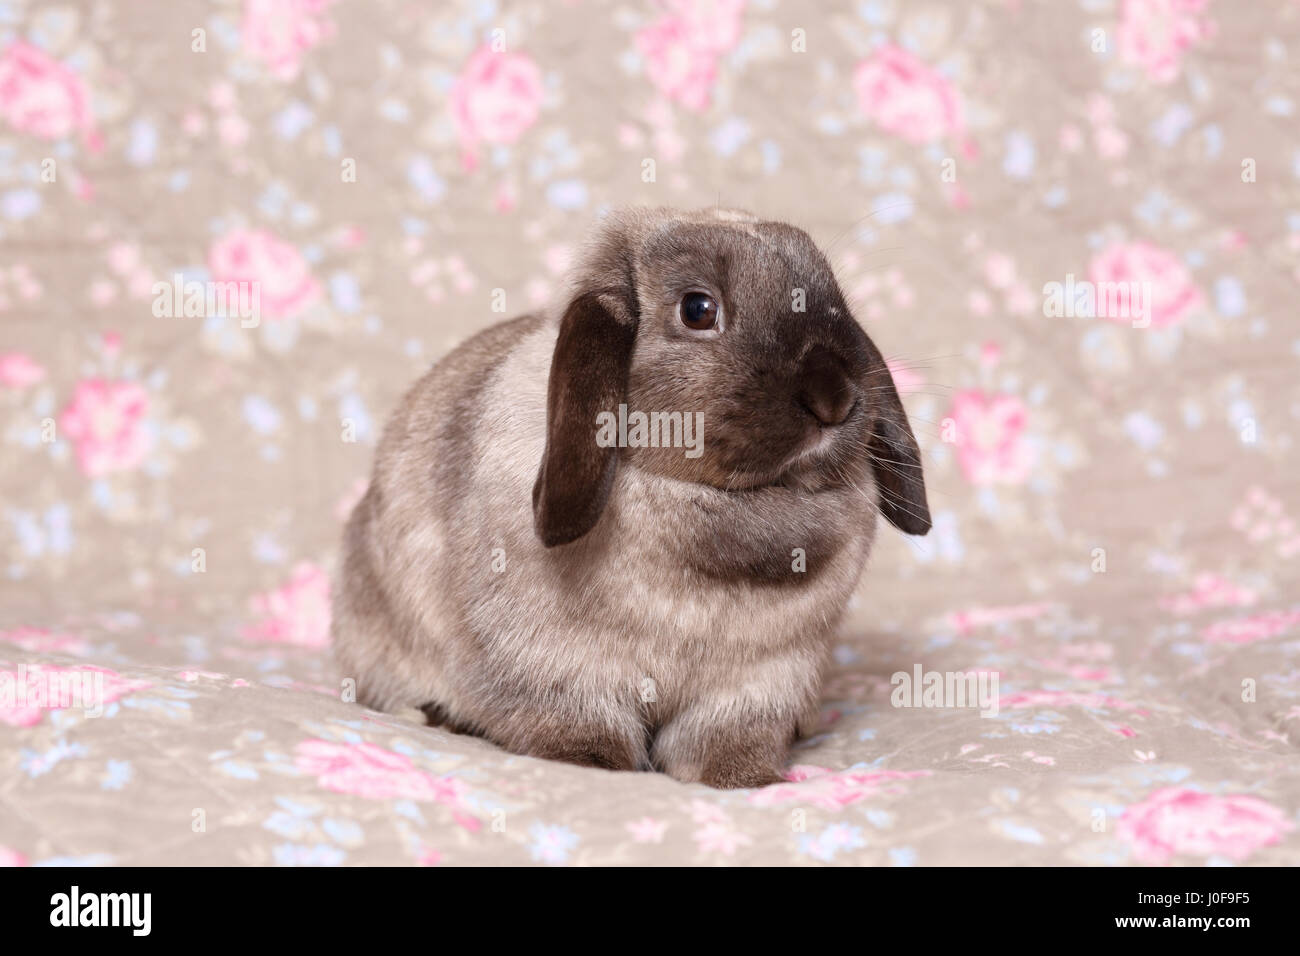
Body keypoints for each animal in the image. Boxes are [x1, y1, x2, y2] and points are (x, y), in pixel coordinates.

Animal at [332, 206, 930, 789]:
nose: (834, 394)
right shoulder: (560, 670)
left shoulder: (760, 684)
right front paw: (594, 767)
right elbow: (583, 729)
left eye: (836, 304)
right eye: (697, 309)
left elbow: (724, 743)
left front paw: (748, 782)